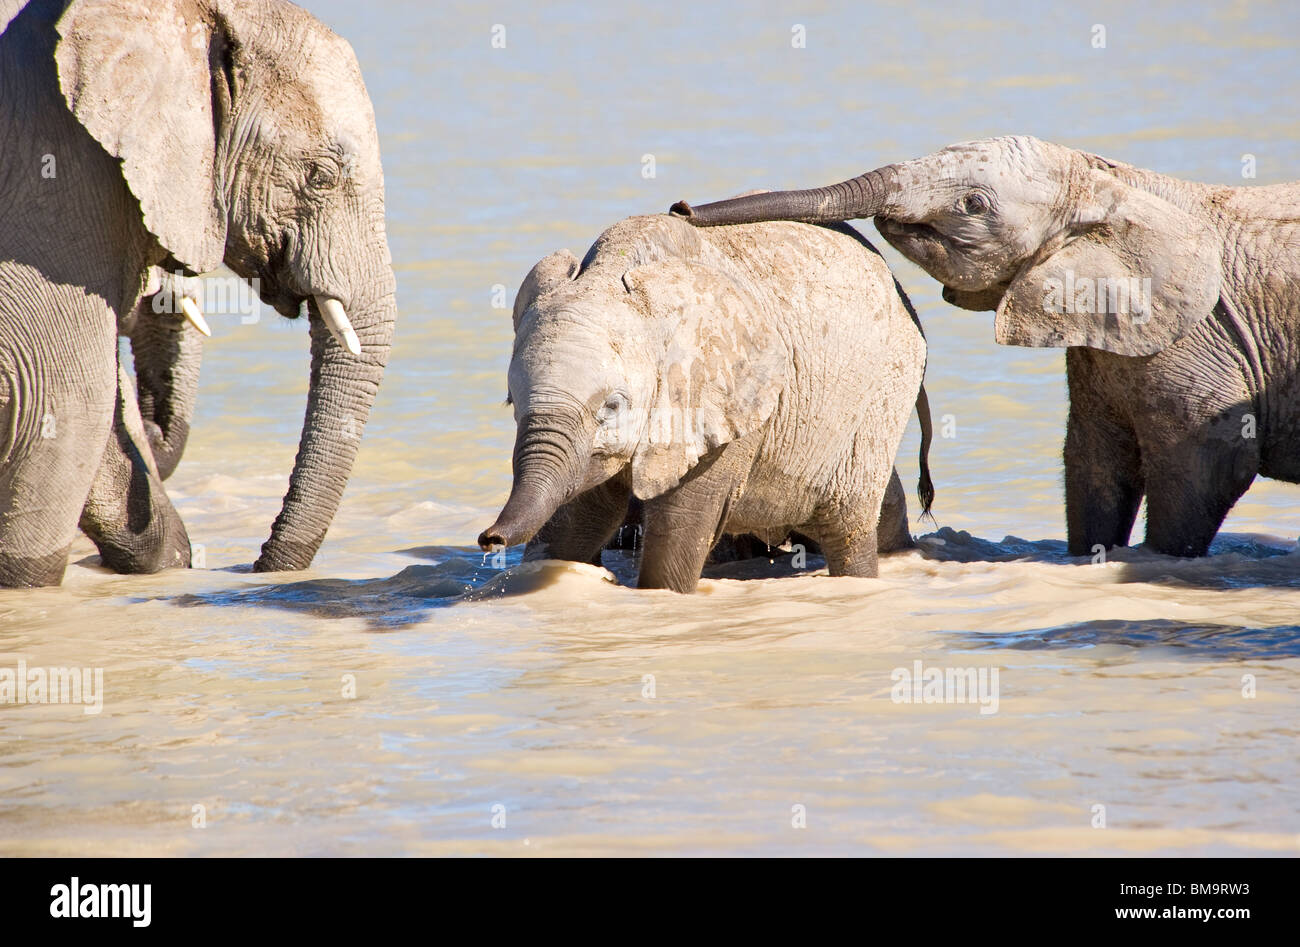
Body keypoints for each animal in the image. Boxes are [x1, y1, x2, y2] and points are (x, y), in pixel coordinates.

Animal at [477, 214, 933, 593]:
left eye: (612, 406)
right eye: (512, 402)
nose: (489, 538)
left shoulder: (730, 407)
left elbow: (679, 529)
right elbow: (572, 523)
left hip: (882, 399)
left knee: (849, 532)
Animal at [670, 135, 1300, 559]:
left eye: (974, 205)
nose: (682, 207)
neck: (1114, 182)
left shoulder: (1201, 336)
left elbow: (1208, 463)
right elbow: (1094, 463)